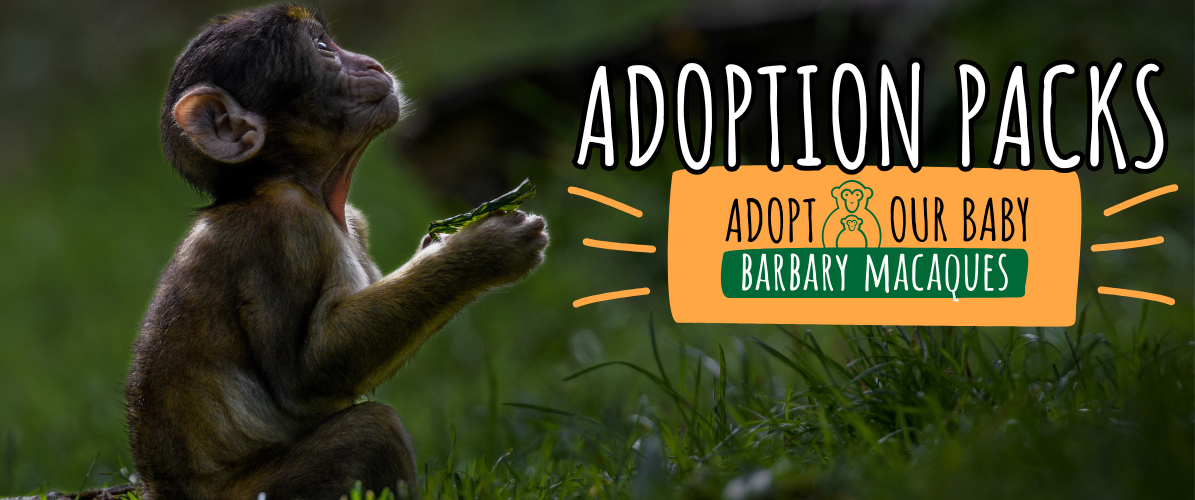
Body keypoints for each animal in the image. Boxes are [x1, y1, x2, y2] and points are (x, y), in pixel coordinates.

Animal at [123, 5, 548, 499]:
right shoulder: (287, 231)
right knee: (375, 431)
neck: (288, 180)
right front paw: (482, 251)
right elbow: (306, 379)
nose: (371, 64)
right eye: (323, 48)